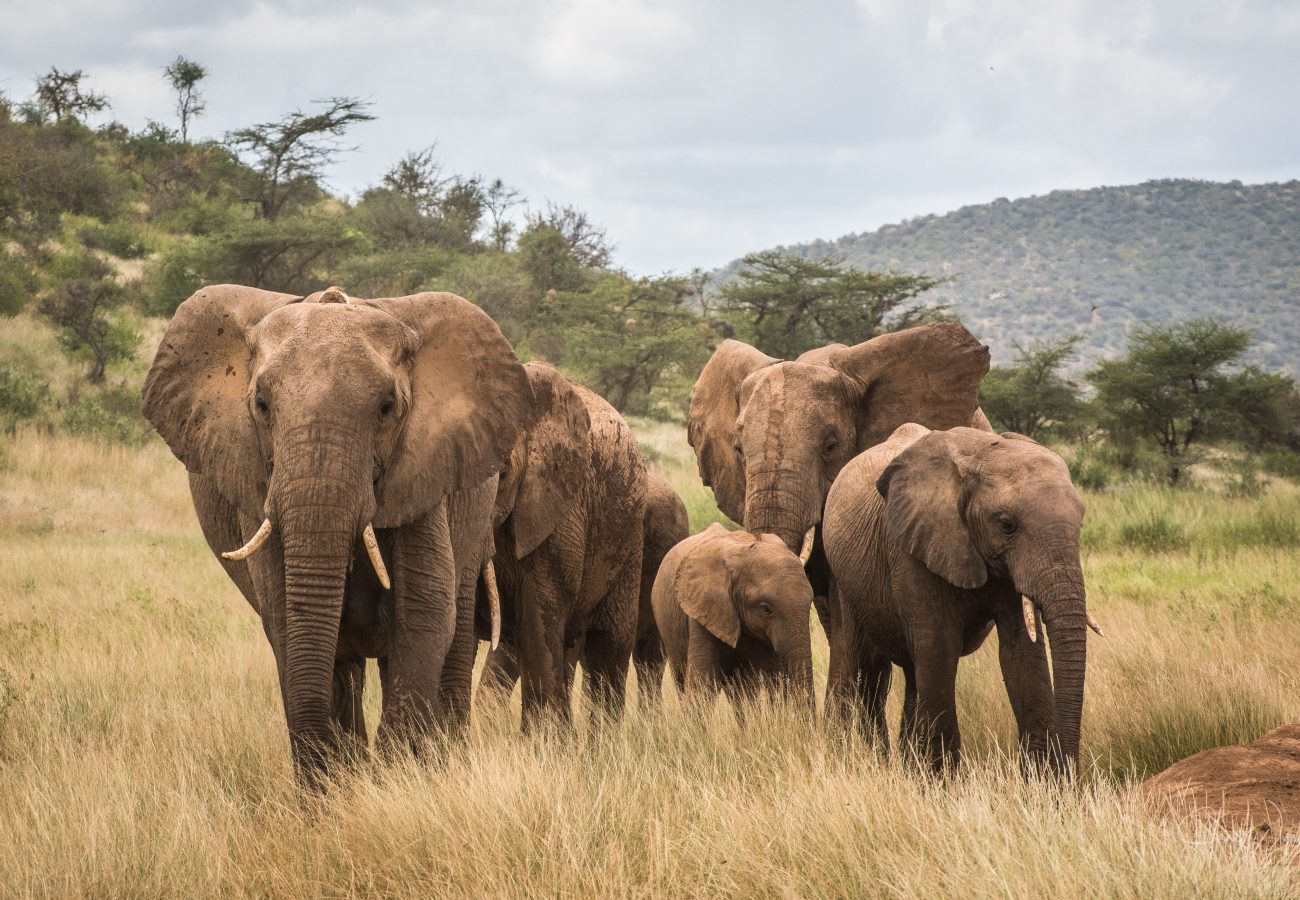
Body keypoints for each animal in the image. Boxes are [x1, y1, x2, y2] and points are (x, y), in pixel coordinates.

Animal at [142, 285, 531, 786]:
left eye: (387, 408)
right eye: (261, 405)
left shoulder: (423, 471)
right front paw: (335, 790)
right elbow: (286, 616)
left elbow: (424, 612)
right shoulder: (256, 481)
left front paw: (395, 780)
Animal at [476, 361, 648, 727]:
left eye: (503, 473)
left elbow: (536, 619)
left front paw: (541, 739)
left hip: (628, 539)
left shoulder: (562, 509)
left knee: (607, 647)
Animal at [821, 424, 1098, 775]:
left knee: (914, 674)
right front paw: (942, 781)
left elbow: (1022, 653)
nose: (1070, 770)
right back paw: (860, 757)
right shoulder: (912, 548)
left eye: (1081, 523)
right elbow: (939, 648)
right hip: (843, 575)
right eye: (1007, 525)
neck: (980, 456)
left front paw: (1043, 782)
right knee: (859, 663)